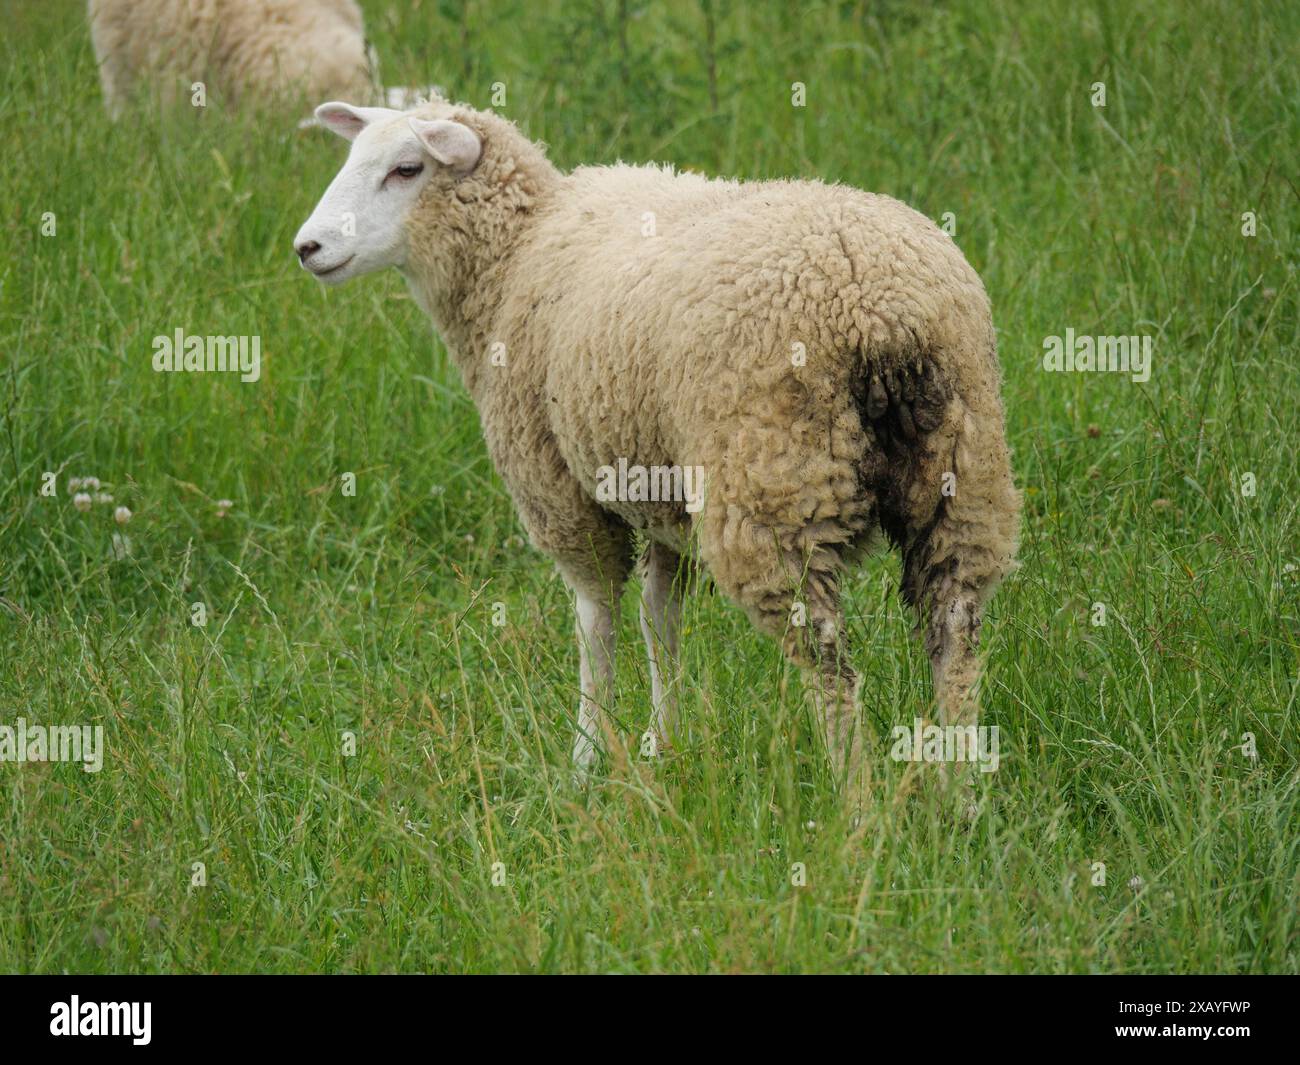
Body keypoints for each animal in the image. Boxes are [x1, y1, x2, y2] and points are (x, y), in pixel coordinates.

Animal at [292, 99, 1022, 807]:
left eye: (407, 169)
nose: (308, 247)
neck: (519, 253)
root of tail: (875, 304)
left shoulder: (560, 489)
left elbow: (597, 621)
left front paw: (587, 760)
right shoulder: (659, 485)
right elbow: (659, 616)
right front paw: (663, 745)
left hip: (772, 483)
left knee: (827, 658)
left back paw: (858, 802)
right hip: (964, 469)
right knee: (954, 627)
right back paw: (961, 794)